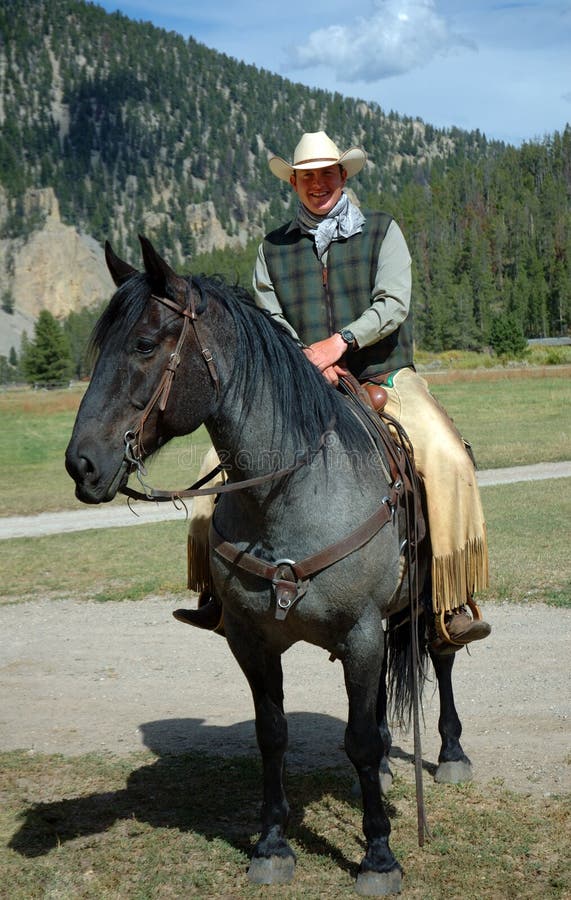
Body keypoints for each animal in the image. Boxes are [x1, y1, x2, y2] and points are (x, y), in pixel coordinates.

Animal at [66, 236, 474, 895]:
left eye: (145, 344)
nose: (82, 464)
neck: (290, 490)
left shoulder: (361, 633)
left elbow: (359, 741)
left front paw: (379, 855)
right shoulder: (251, 640)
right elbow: (274, 735)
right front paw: (272, 844)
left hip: (430, 596)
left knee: (440, 652)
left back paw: (453, 755)